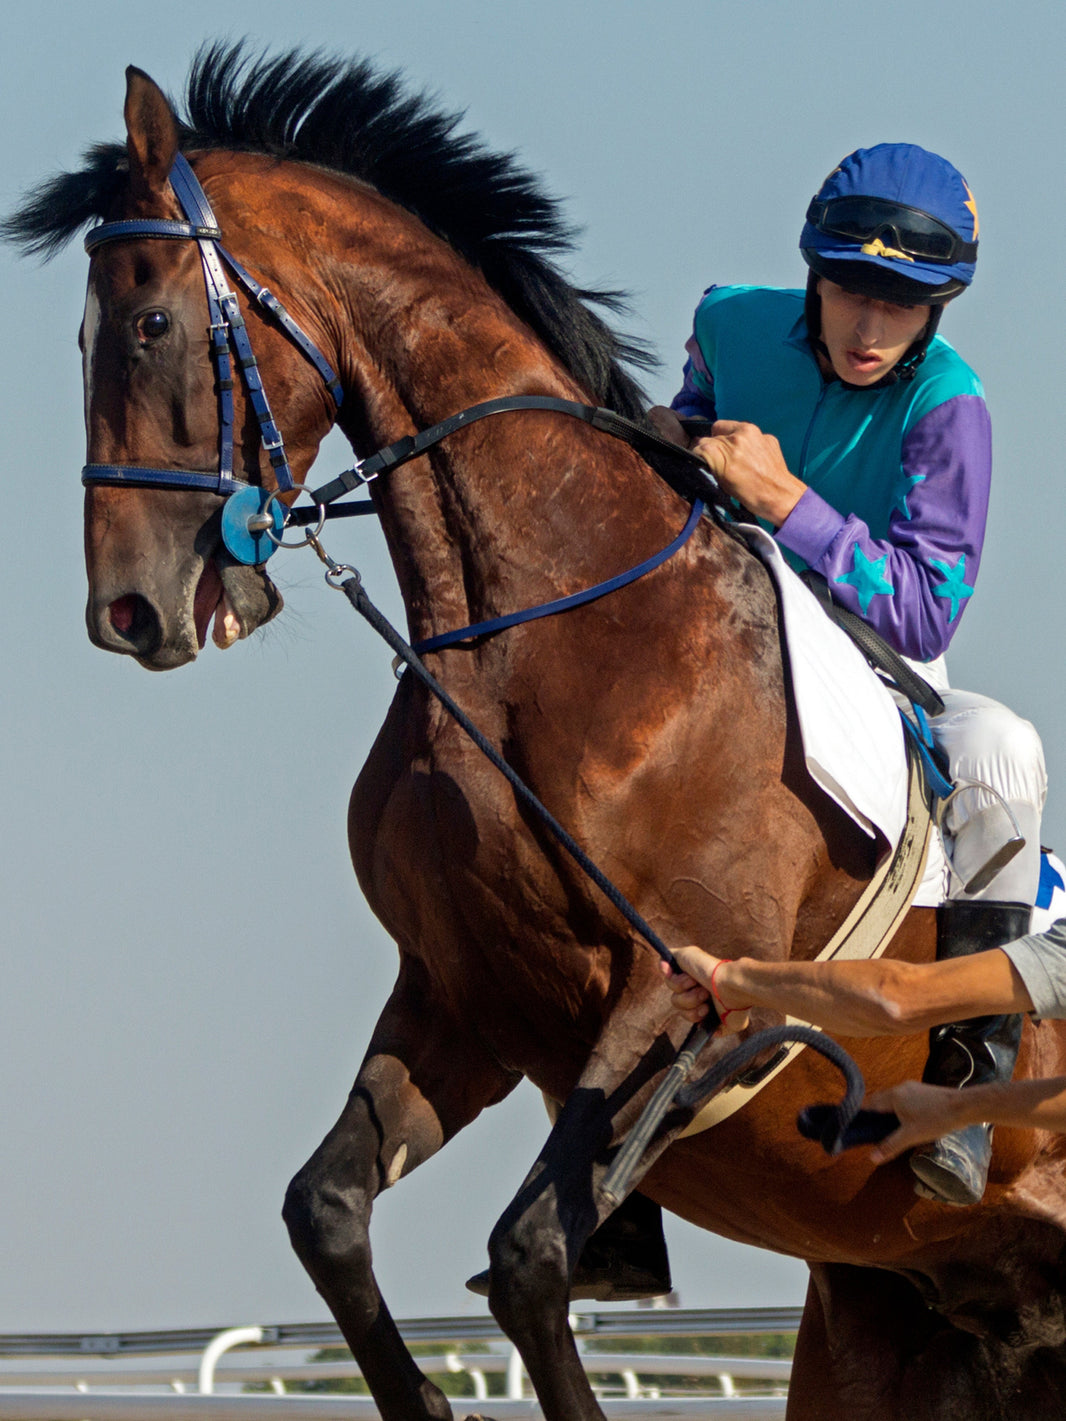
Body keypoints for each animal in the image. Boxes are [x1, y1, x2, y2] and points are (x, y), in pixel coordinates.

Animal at [8, 43, 1066, 1420]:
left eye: (150, 325)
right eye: (88, 331)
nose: (125, 609)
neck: (534, 638)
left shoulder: (691, 994)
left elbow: (526, 1258)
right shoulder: (462, 996)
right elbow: (326, 1211)